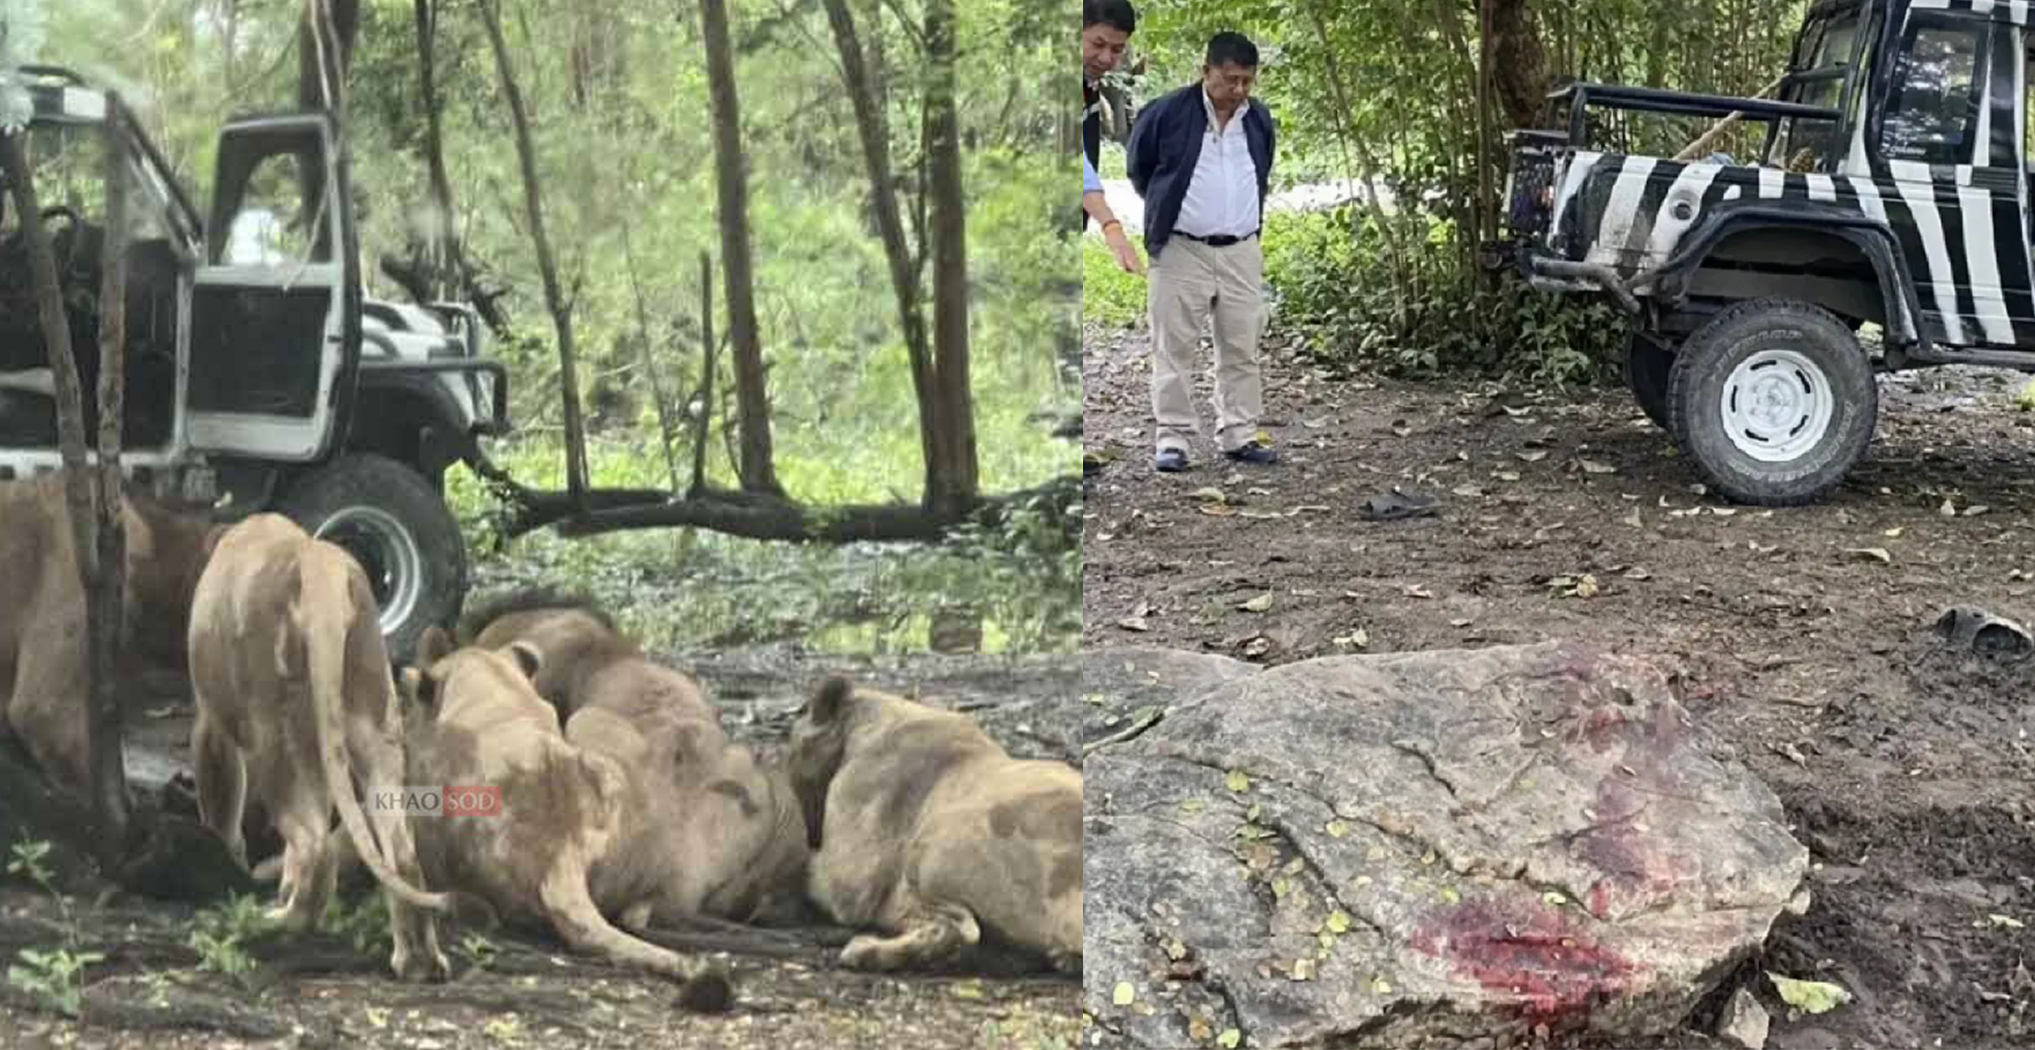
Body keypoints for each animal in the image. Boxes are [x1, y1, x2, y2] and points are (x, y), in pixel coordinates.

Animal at [186, 514, 472, 981]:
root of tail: (320, 568)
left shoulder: (211, 719)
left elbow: (221, 804)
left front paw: (227, 860)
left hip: (275, 733)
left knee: (315, 846)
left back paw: (275, 923)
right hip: (373, 717)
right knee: (401, 852)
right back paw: (419, 962)